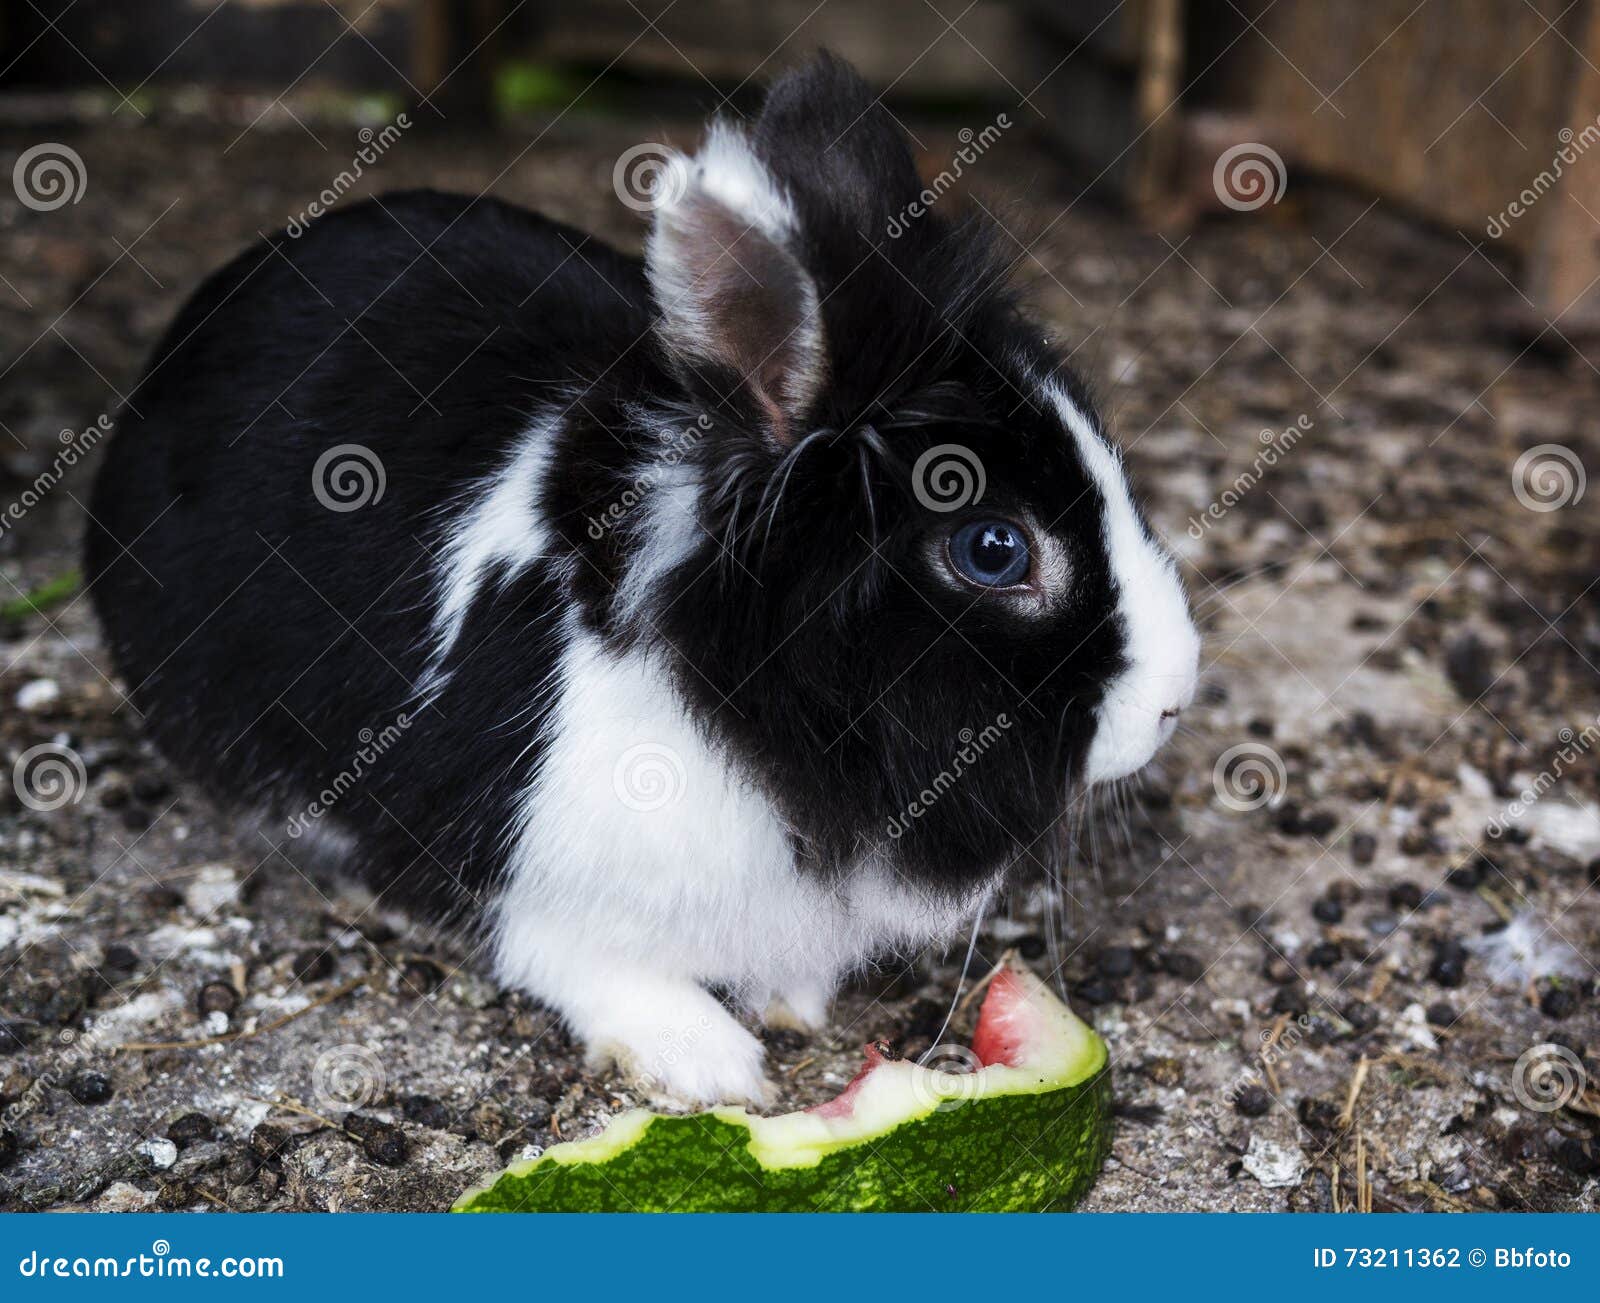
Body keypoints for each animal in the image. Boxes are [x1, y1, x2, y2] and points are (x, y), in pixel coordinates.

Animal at [84, 52, 1200, 1106]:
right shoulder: (535, 878)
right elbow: (588, 964)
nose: (1174, 699)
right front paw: (709, 1063)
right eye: (994, 549)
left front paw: (789, 1003)